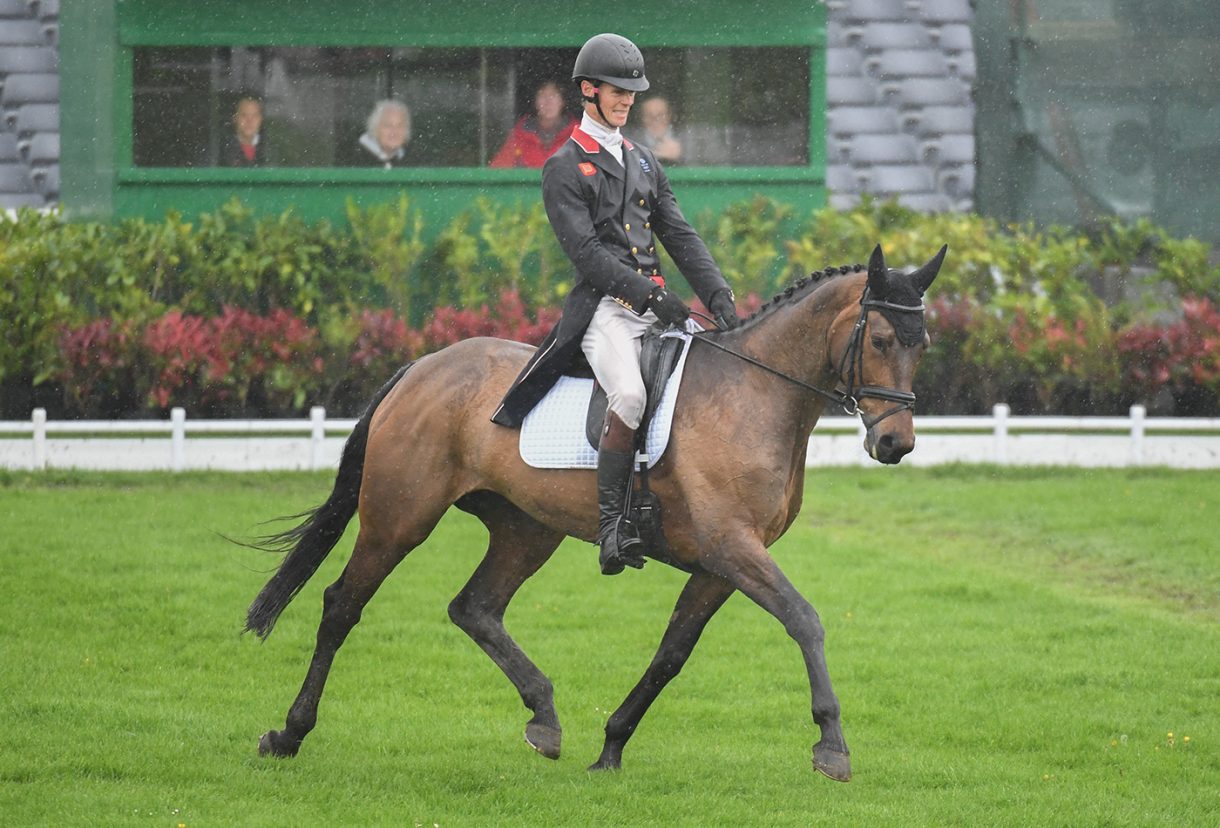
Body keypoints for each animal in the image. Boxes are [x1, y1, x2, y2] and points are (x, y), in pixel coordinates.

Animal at [244, 243, 946, 783]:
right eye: (882, 338)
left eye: (923, 346)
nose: (896, 443)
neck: (753, 393)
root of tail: (423, 366)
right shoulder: (733, 547)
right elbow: (805, 619)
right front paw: (832, 745)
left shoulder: (719, 566)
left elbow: (671, 655)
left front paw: (610, 747)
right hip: (398, 519)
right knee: (342, 605)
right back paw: (289, 733)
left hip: (526, 530)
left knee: (474, 608)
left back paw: (545, 719)